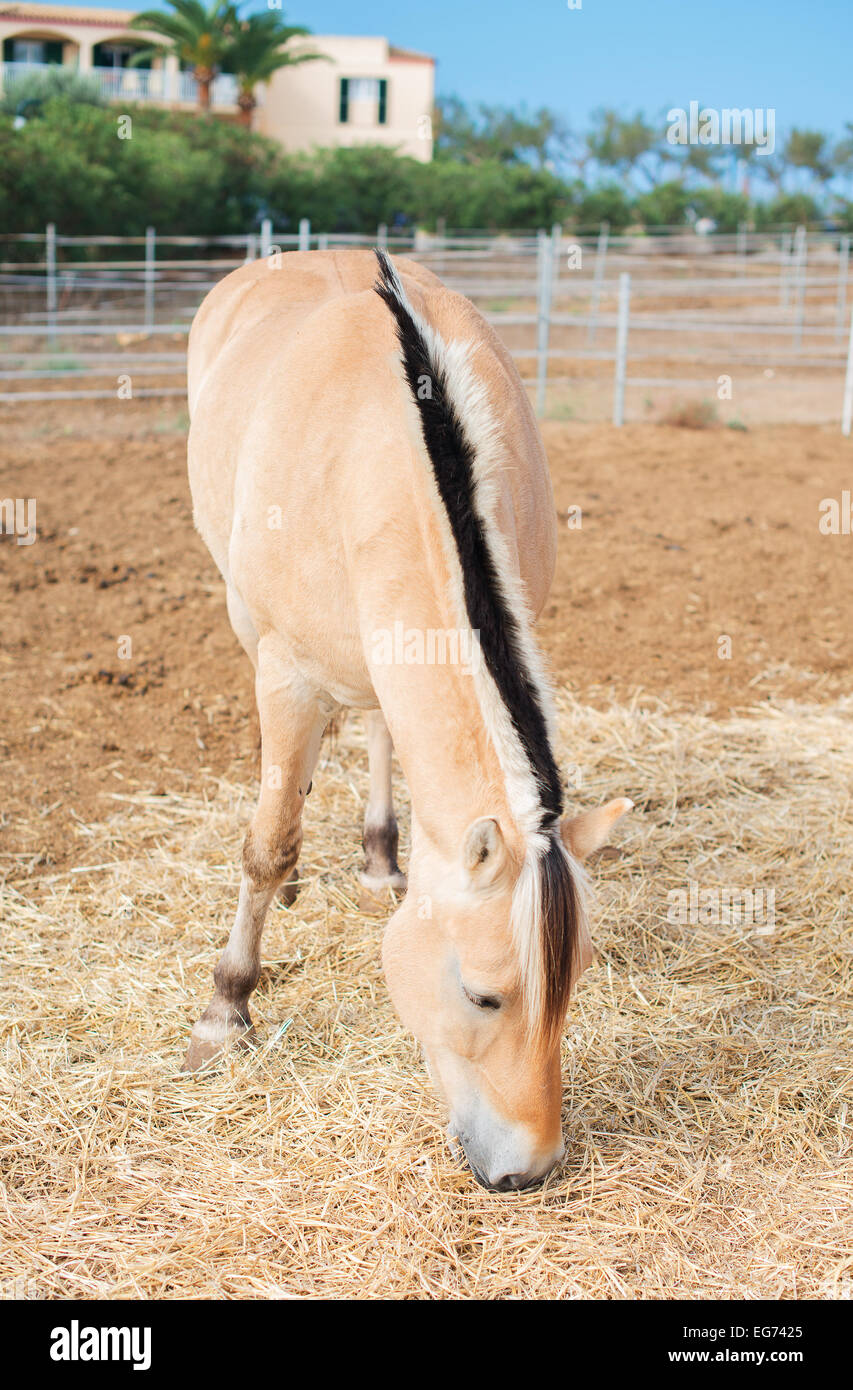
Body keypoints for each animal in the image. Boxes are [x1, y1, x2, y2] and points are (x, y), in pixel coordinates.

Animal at [185, 248, 631, 1191]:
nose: (530, 1168)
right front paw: (226, 1007)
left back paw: (379, 855)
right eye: (483, 994)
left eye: (572, 983)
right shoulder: (285, 673)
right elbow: (267, 840)